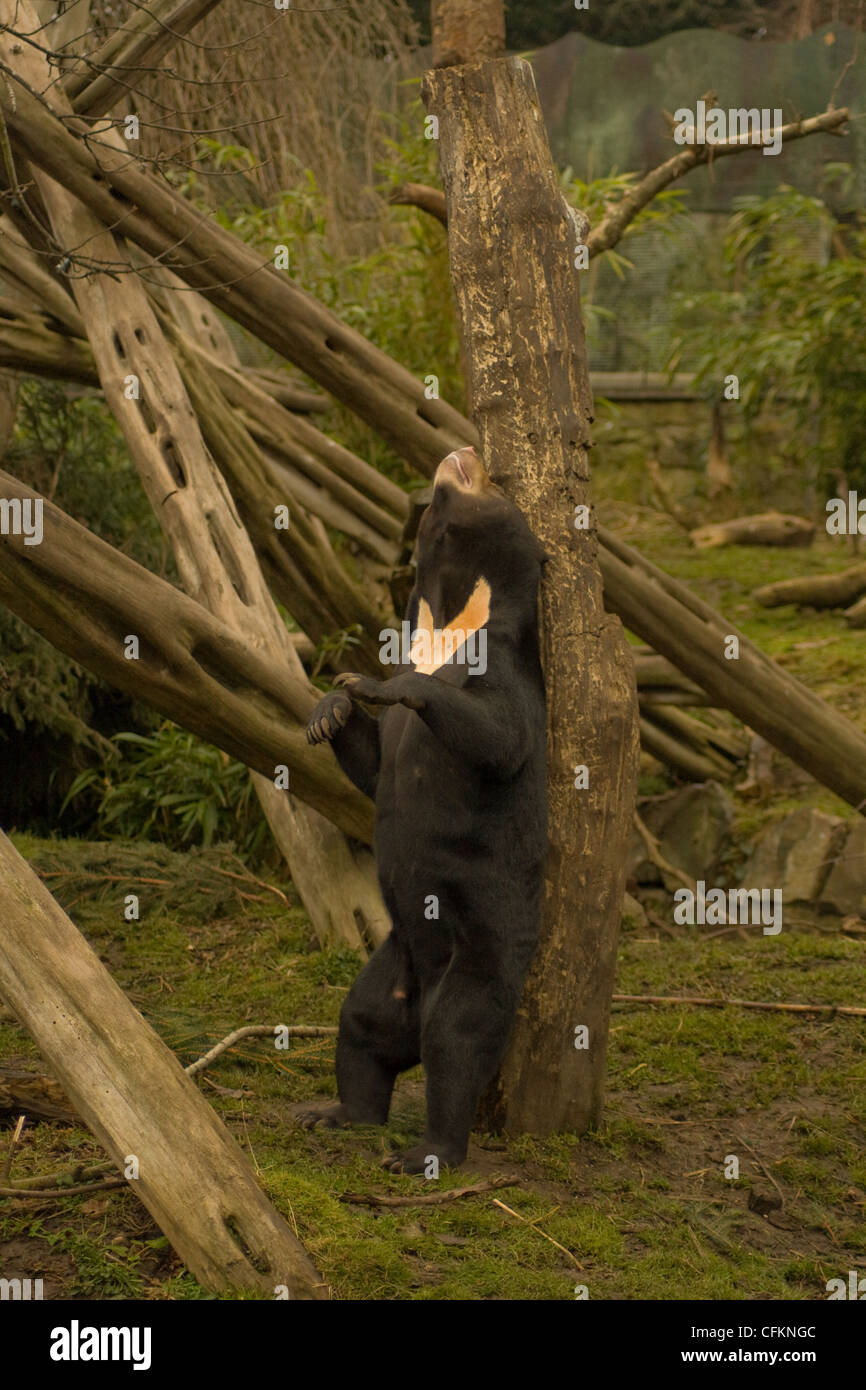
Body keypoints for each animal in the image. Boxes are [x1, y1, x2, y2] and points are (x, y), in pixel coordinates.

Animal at [298, 445, 547, 1174]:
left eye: (489, 485)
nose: (465, 450)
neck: (449, 626)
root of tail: (421, 995)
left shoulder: (506, 675)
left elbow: (497, 736)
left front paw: (378, 684)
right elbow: (375, 762)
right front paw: (330, 707)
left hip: (479, 959)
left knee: (455, 1048)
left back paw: (425, 1152)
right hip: (388, 966)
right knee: (359, 1031)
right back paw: (337, 1114)